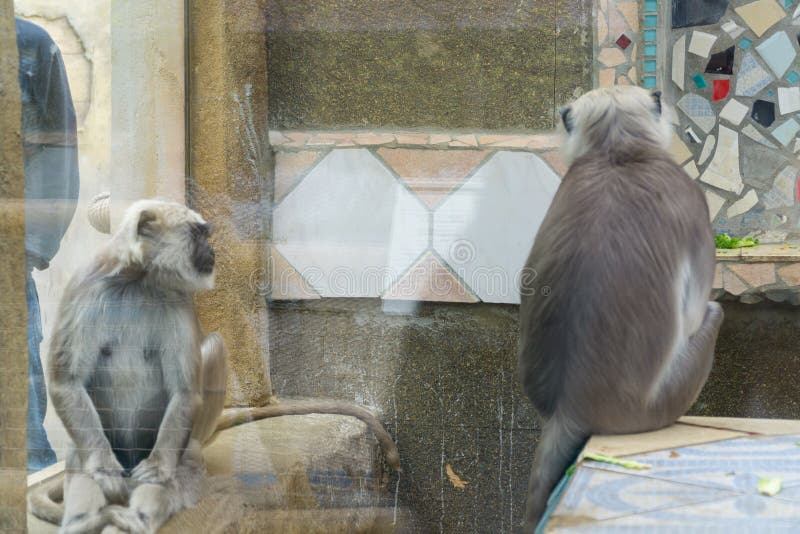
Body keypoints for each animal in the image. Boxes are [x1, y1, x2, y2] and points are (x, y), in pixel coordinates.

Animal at [28, 199, 400, 532]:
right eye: (198, 234)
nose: (212, 252)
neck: (139, 280)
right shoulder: (85, 286)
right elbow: (66, 381)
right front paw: (104, 471)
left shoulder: (176, 299)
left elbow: (184, 391)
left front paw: (158, 470)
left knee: (213, 349)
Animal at [517, 86, 723, 531]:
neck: (618, 154)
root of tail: (569, 409)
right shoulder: (692, 200)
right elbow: (694, 309)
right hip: (656, 404)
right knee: (714, 313)